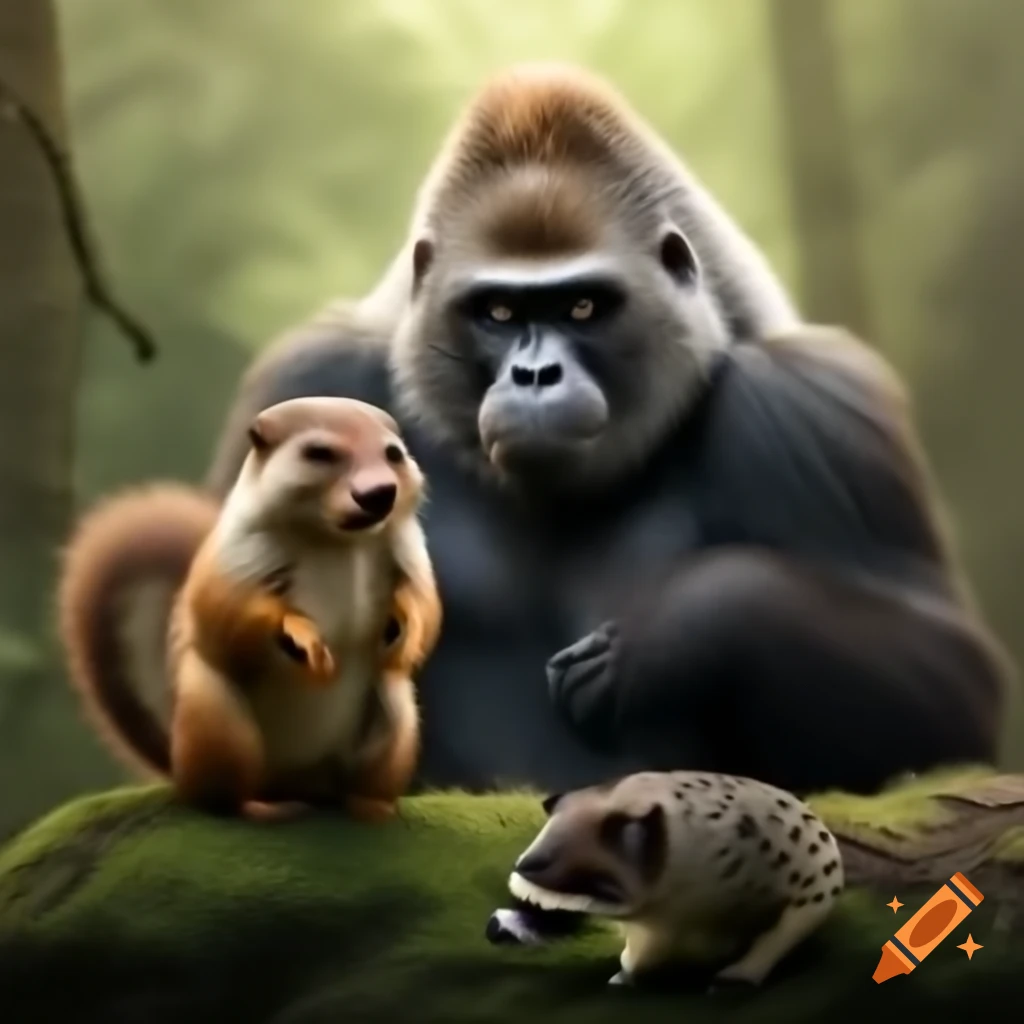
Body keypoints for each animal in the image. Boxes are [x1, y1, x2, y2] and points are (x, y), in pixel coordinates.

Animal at [58, 396, 442, 823]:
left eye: (394, 453)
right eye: (318, 453)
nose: (380, 493)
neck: (336, 538)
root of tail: (298, 784)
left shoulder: (410, 550)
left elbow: (426, 603)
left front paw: (405, 629)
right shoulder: (235, 556)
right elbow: (224, 612)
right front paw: (300, 635)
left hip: (392, 729)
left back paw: (370, 807)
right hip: (217, 723)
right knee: (219, 799)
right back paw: (259, 808)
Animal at [486, 771, 844, 988]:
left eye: (560, 913)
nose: (493, 931)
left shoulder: (675, 910)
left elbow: (646, 952)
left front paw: (622, 975)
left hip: (812, 894)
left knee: (783, 934)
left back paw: (735, 977)